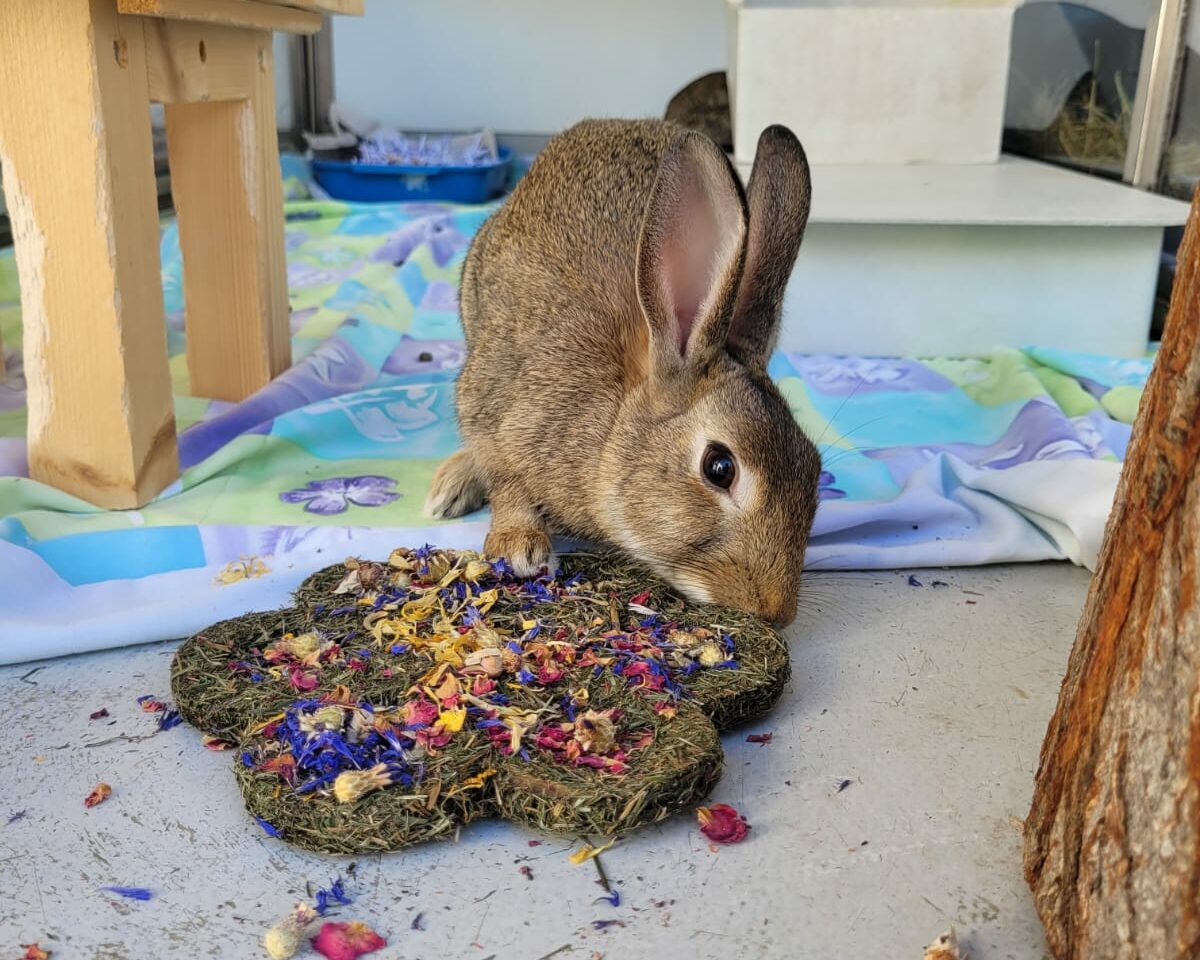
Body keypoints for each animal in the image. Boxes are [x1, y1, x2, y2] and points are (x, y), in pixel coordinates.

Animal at [425, 118, 820, 626]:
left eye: (815, 467)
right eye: (719, 468)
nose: (776, 611)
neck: (614, 422)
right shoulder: (494, 408)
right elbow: (507, 482)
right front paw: (519, 549)